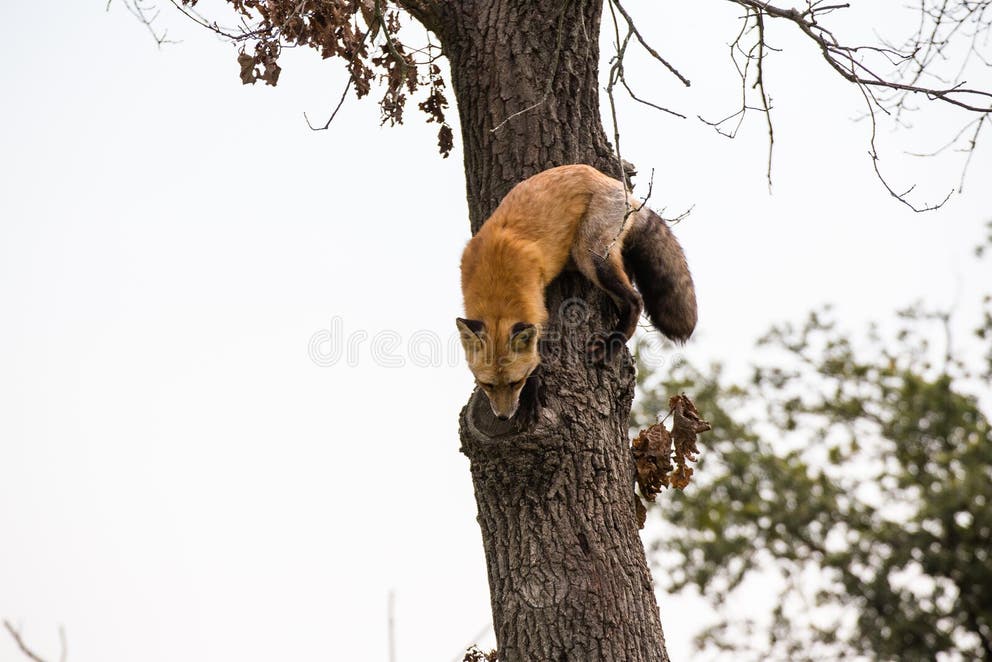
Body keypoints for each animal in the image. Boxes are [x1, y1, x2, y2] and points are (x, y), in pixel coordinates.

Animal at [457, 164, 697, 420]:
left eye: (516, 382)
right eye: (487, 384)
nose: (503, 417)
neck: (496, 284)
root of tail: (609, 181)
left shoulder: (539, 312)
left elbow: (537, 360)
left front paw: (530, 399)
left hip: (590, 254)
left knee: (635, 300)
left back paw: (611, 343)